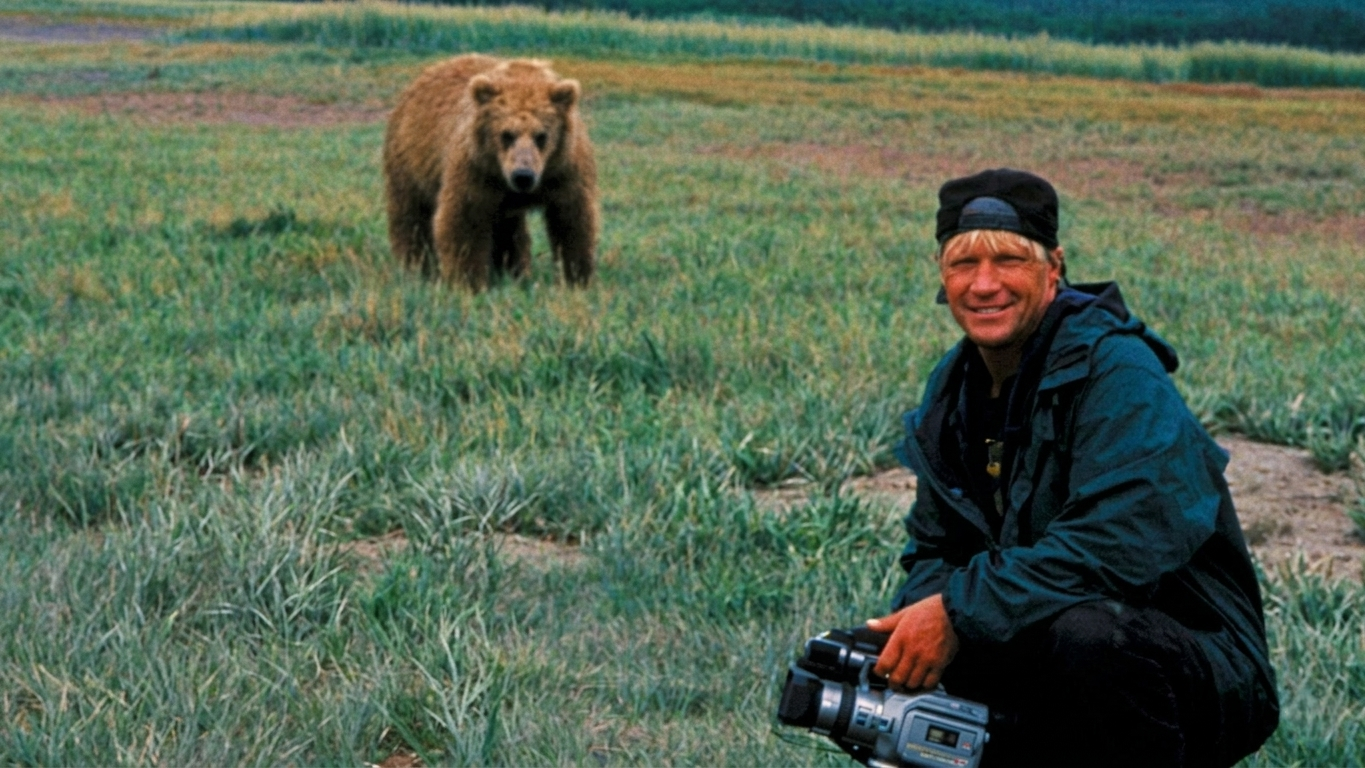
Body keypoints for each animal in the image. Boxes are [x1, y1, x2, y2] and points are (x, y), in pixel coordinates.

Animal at [382, 54, 598, 291]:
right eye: (506, 134)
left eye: (541, 135)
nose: (523, 176)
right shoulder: (476, 170)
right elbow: (465, 221)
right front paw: (468, 281)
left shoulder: (564, 170)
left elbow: (572, 220)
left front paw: (576, 278)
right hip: (411, 161)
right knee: (412, 217)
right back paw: (416, 266)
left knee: (508, 231)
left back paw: (512, 271)